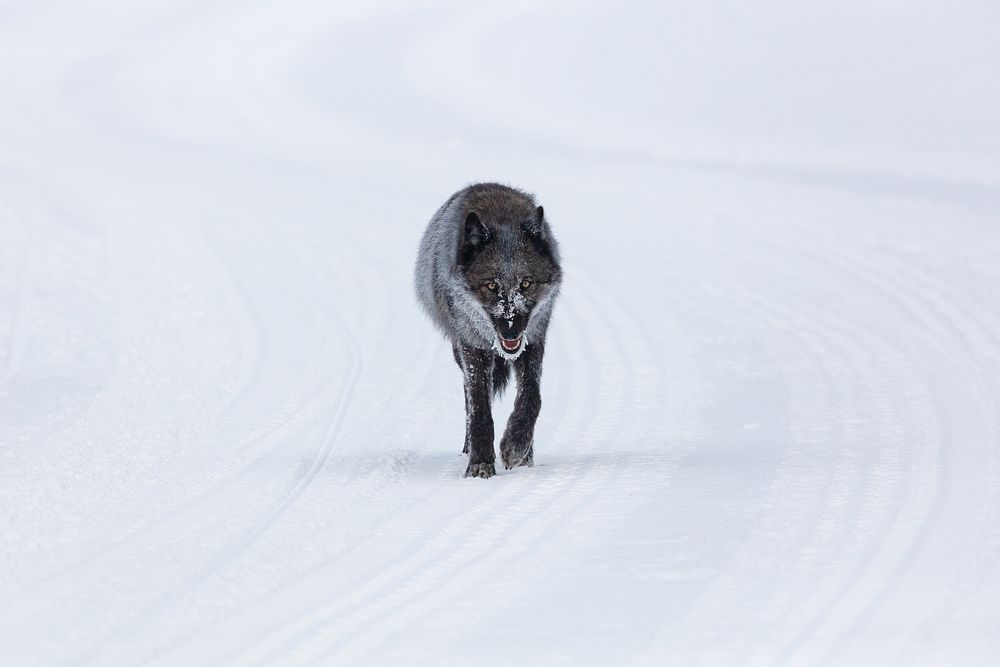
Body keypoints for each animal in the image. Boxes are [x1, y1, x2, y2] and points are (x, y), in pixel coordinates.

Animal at [414, 183, 562, 478]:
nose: (510, 329)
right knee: (468, 399)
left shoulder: (534, 341)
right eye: (492, 286)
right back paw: (469, 447)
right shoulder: (473, 349)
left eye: (526, 284)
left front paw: (516, 447)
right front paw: (480, 462)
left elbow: (532, 398)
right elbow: (479, 407)